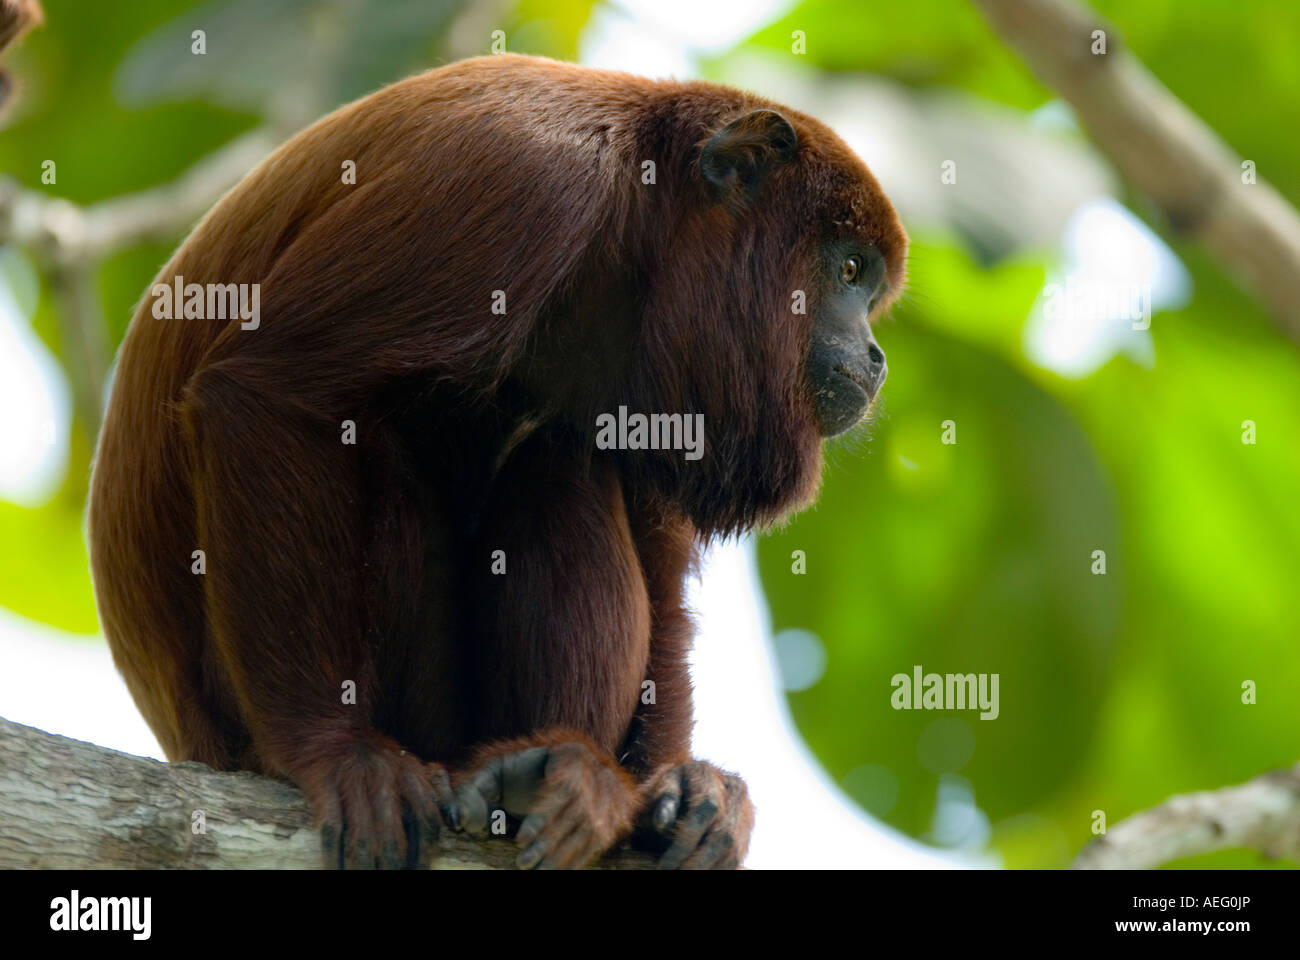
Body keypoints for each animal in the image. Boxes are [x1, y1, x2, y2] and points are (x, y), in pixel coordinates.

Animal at [87, 53, 906, 869]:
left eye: (869, 287)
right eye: (848, 270)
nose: (877, 357)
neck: (635, 214)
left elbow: (661, 564)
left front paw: (677, 788)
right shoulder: (521, 179)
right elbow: (269, 392)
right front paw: (336, 751)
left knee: (565, 463)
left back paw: (561, 773)